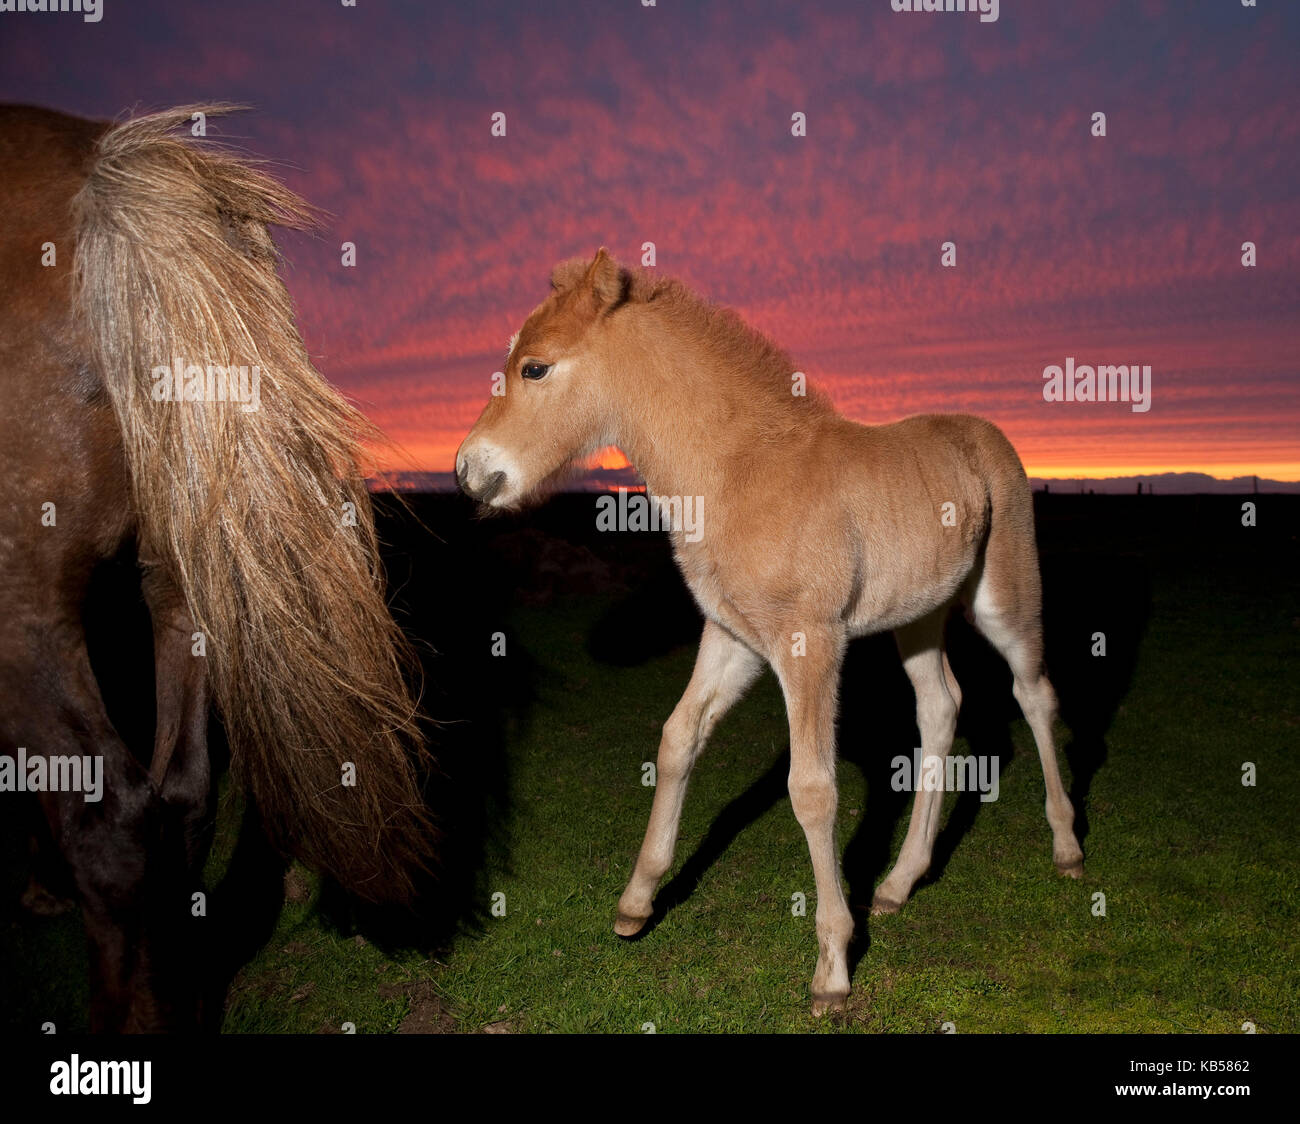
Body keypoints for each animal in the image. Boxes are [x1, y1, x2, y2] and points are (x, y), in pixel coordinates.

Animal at [456, 248, 1085, 1015]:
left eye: (535, 368)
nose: (469, 472)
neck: (738, 471)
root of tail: (987, 433)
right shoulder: (731, 637)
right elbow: (678, 739)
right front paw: (637, 902)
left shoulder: (809, 644)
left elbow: (812, 789)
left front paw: (832, 969)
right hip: (919, 616)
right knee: (942, 707)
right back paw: (900, 882)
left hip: (1004, 596)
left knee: (1035, 695)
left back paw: (1066, 848)